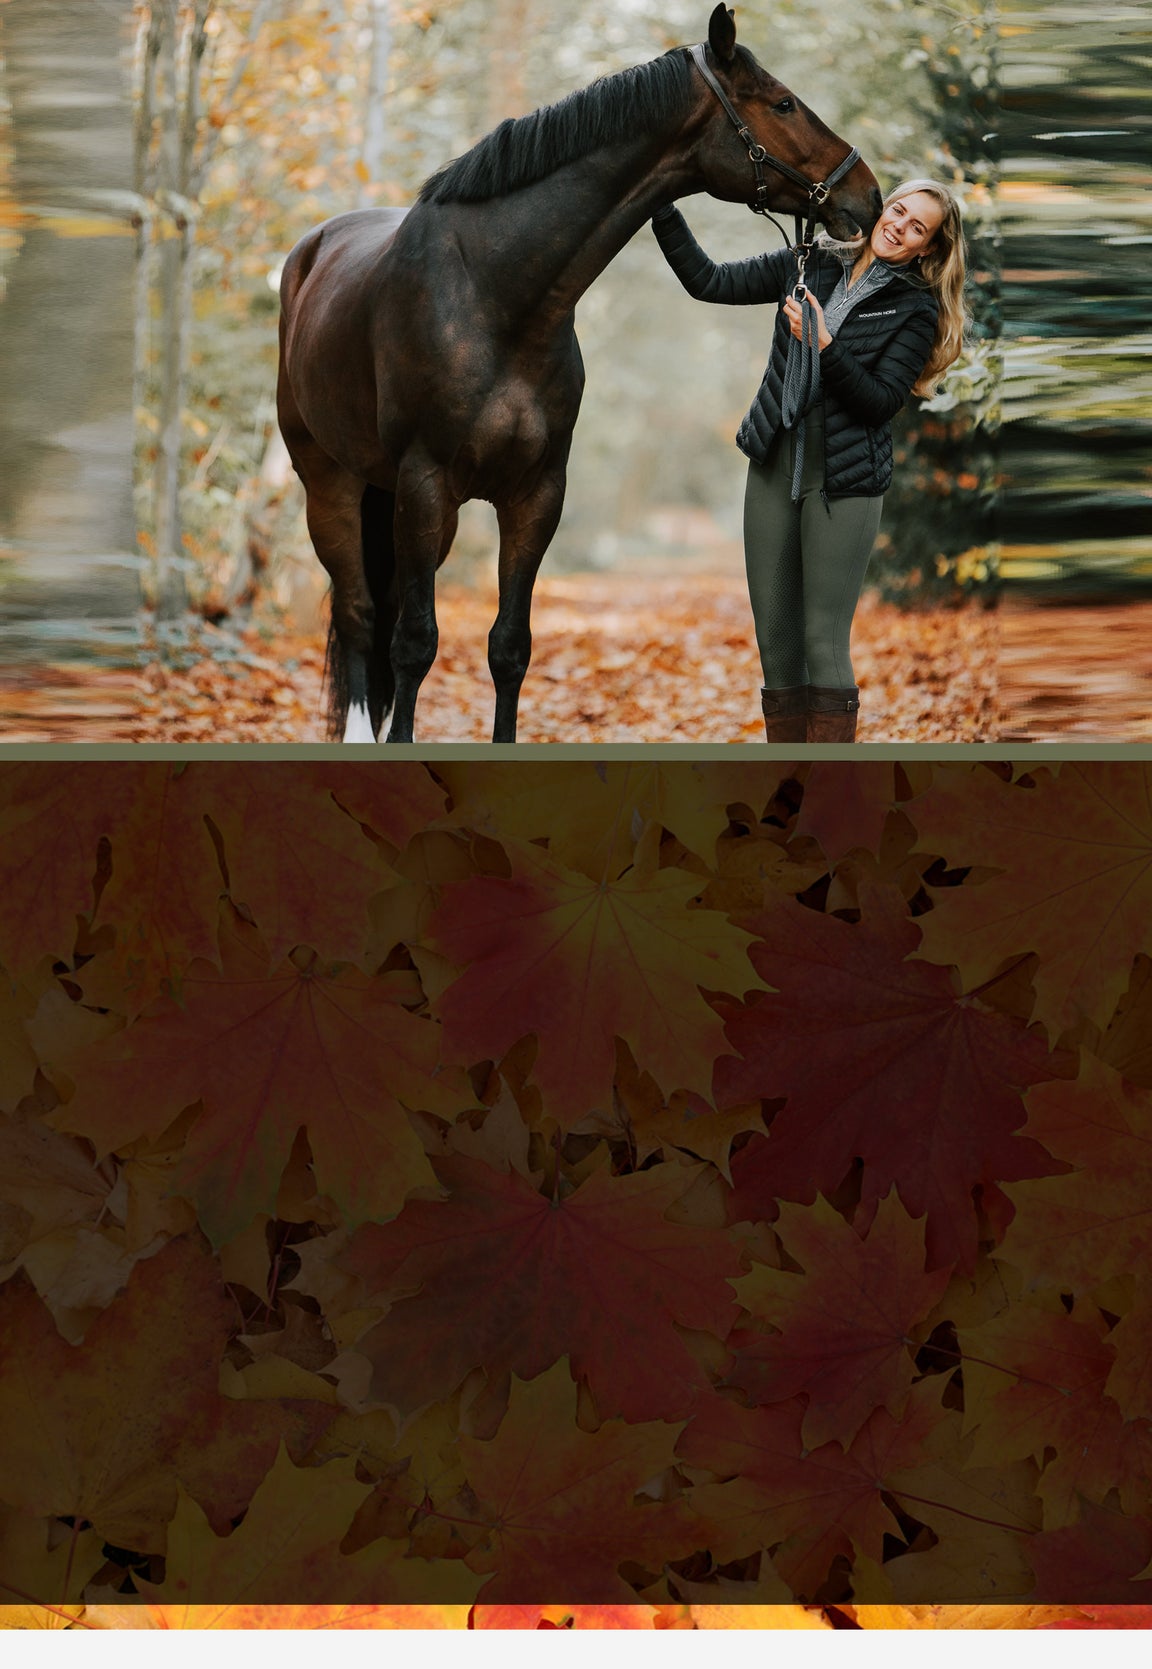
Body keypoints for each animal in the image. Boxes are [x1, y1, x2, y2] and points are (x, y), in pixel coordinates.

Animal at [277, 4, 881, 743]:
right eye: (783, 103)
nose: (868, 195)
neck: (495, 293)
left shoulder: (537, 493)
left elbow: (509, 646)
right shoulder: (425, 483)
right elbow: (415, 643)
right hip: (331, 486)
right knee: (360, 614)